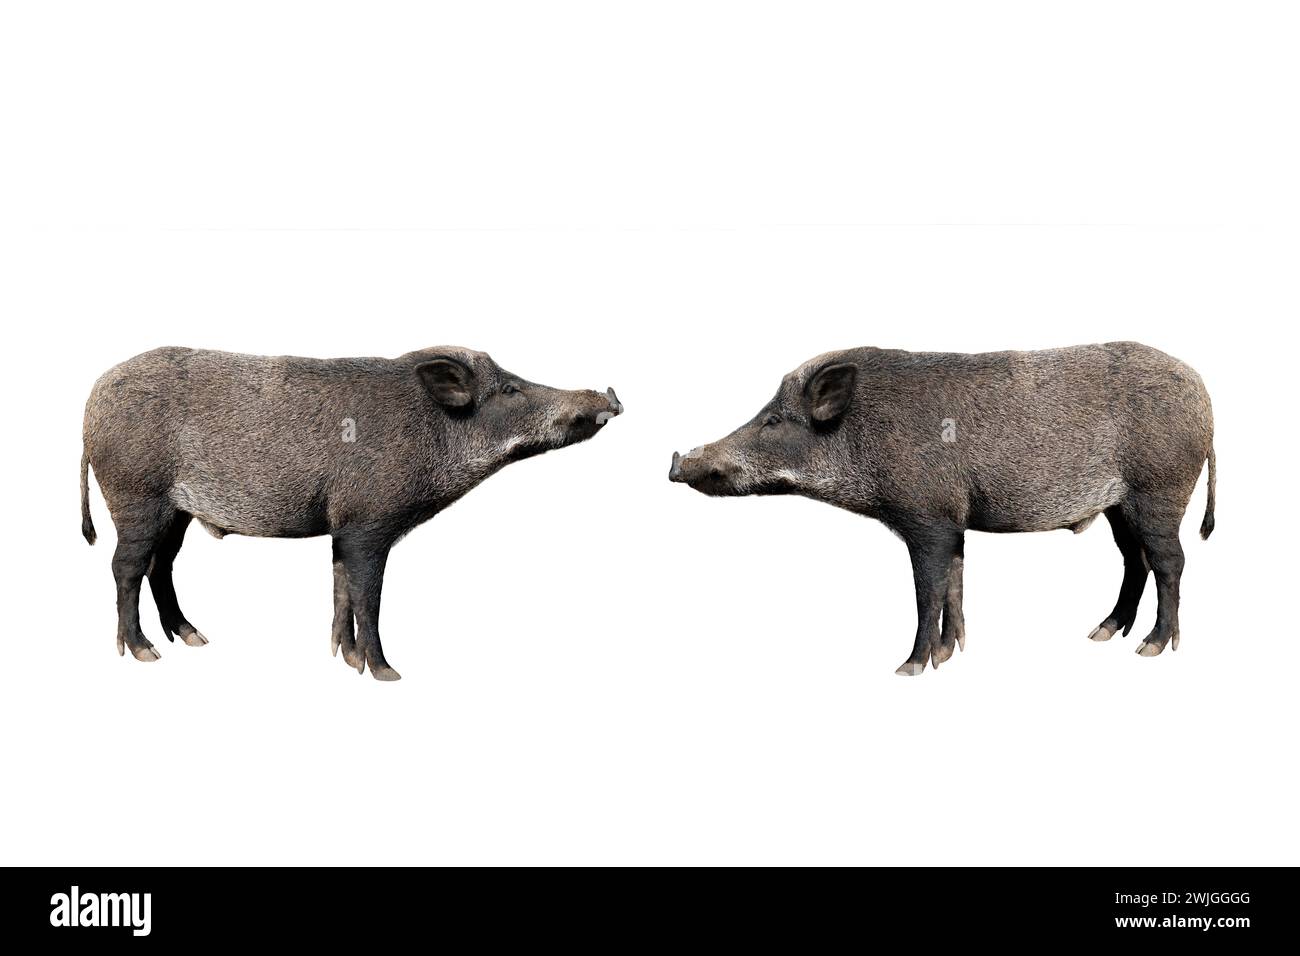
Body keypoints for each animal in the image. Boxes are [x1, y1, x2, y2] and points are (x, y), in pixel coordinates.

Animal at [81, 346, 623, 680]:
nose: (611, 396)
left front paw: (345, 660)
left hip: (176, 511)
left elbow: (342, 588)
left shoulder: (342, 531)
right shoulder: (369, 523)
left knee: (161, 566)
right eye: (509, 389)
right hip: (136, 495)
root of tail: (90, 403)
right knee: (125, 566)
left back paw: (195, 639)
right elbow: (368, 595)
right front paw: (386, 672)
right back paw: (145, 653)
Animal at [669, 342, 1215, 675]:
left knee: (1170, 561)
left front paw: (908, 667)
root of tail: (1205, 396)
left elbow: (926, 592)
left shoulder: (927, 518)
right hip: (1120, 506)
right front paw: (950, 655)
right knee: (1135, 561)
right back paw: (1101, 634)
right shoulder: (953, 525)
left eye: (774, 421)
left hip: (1160, 490)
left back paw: (1151, 647)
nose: (677, 462)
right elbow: (953, 584)